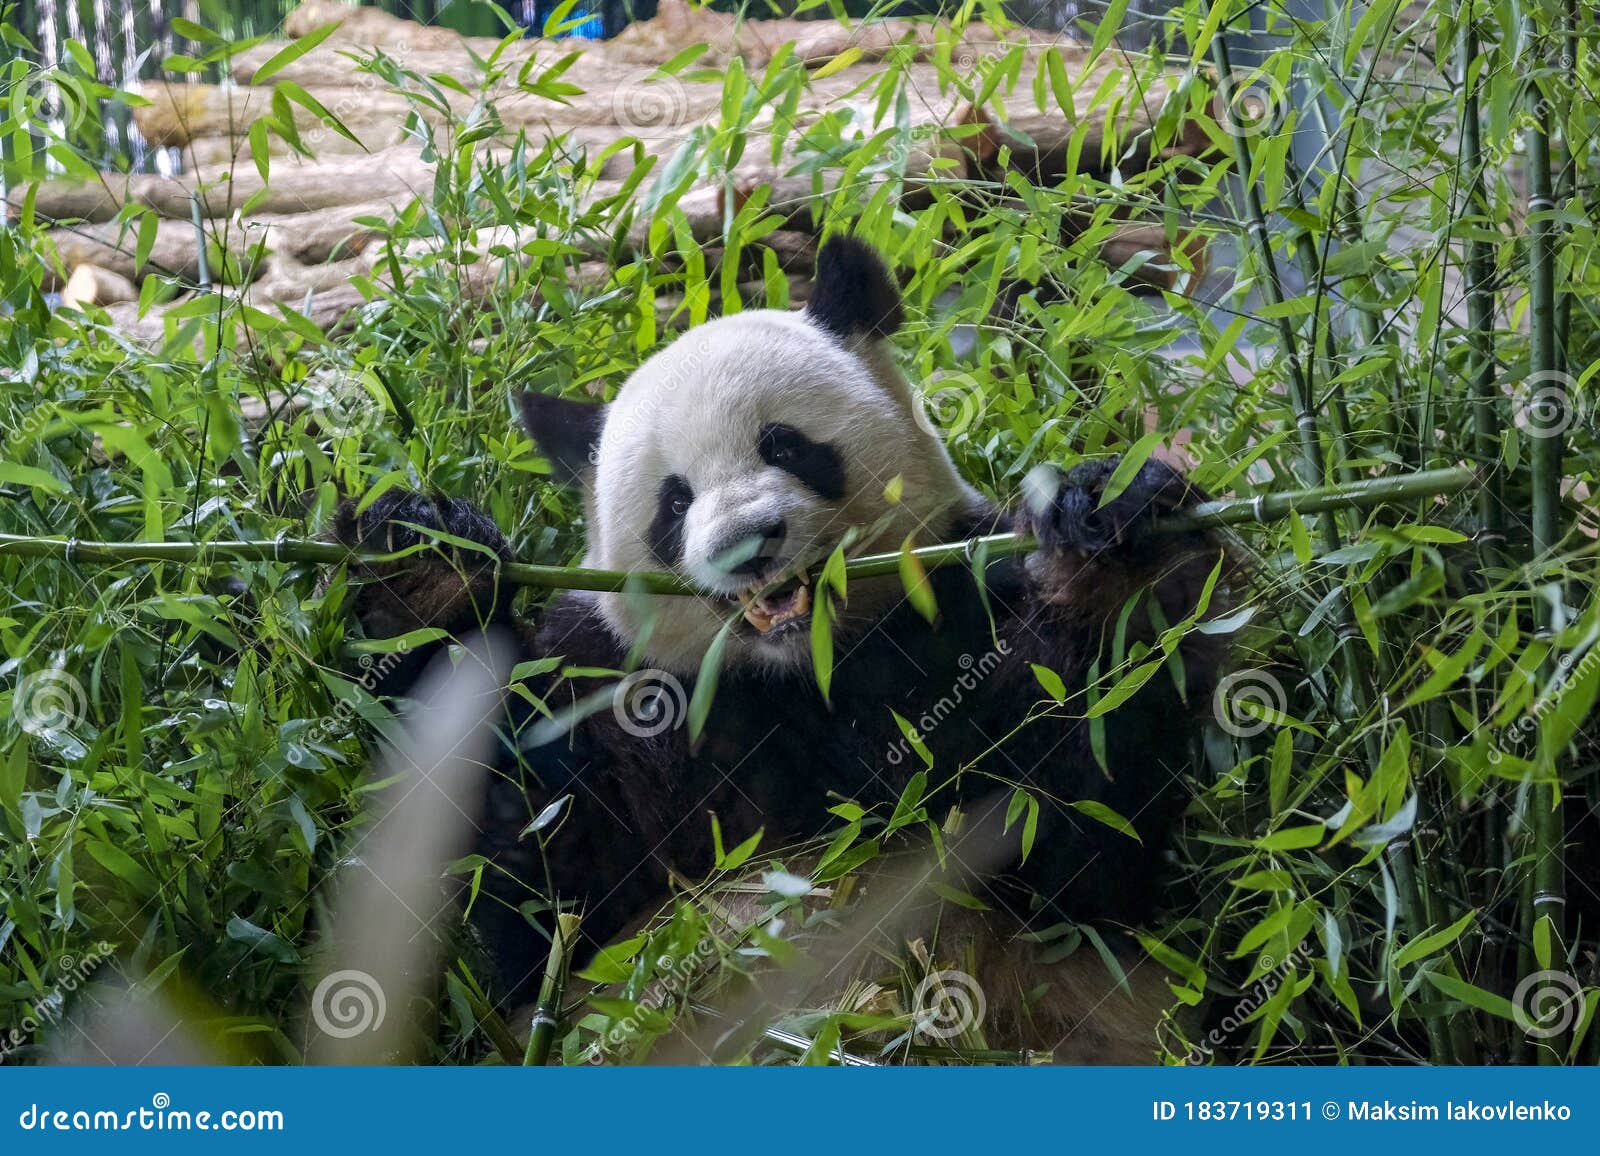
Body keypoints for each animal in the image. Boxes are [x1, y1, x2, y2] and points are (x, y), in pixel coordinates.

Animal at [334, 236, 1231, 1063]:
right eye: (674, 501)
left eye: (786, 445)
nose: (745, 544)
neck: (800, 670)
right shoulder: (614, 686)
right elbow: (547, 894)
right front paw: (423, 567)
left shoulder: (965, 602)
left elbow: (1082, 855)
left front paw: (1114, 537)